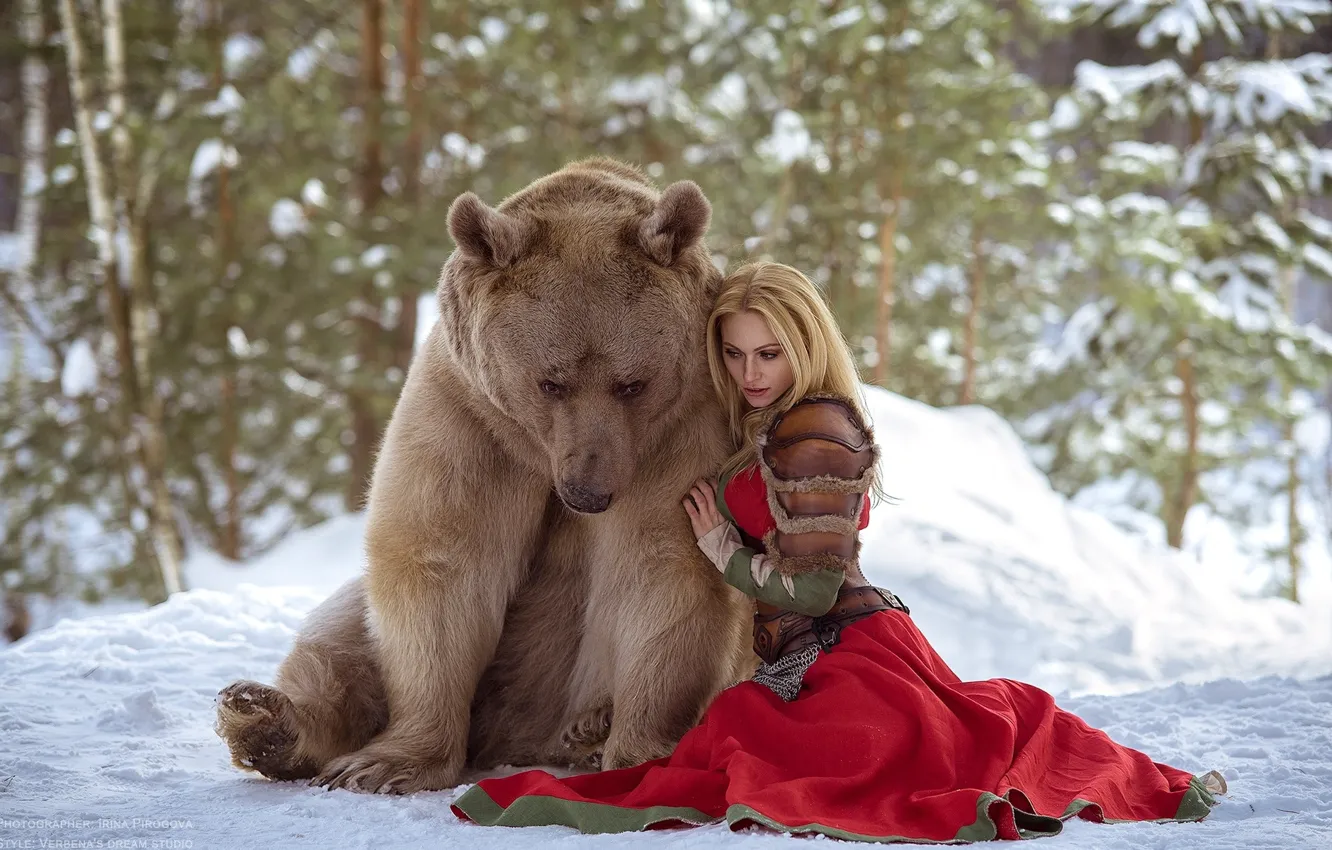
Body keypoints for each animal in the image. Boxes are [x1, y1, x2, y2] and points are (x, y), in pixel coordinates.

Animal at [215, 158, 755, 794]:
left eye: (632, 383)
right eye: (551, 381)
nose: (589, 492)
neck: (539, 450)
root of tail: (516, 734)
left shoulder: (679, 433)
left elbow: (661, 565)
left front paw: (639, 745)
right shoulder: (469, 420)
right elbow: (443, 558)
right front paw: (386, 763)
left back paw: (592, 728)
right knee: (340, 633)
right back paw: (266, 719)